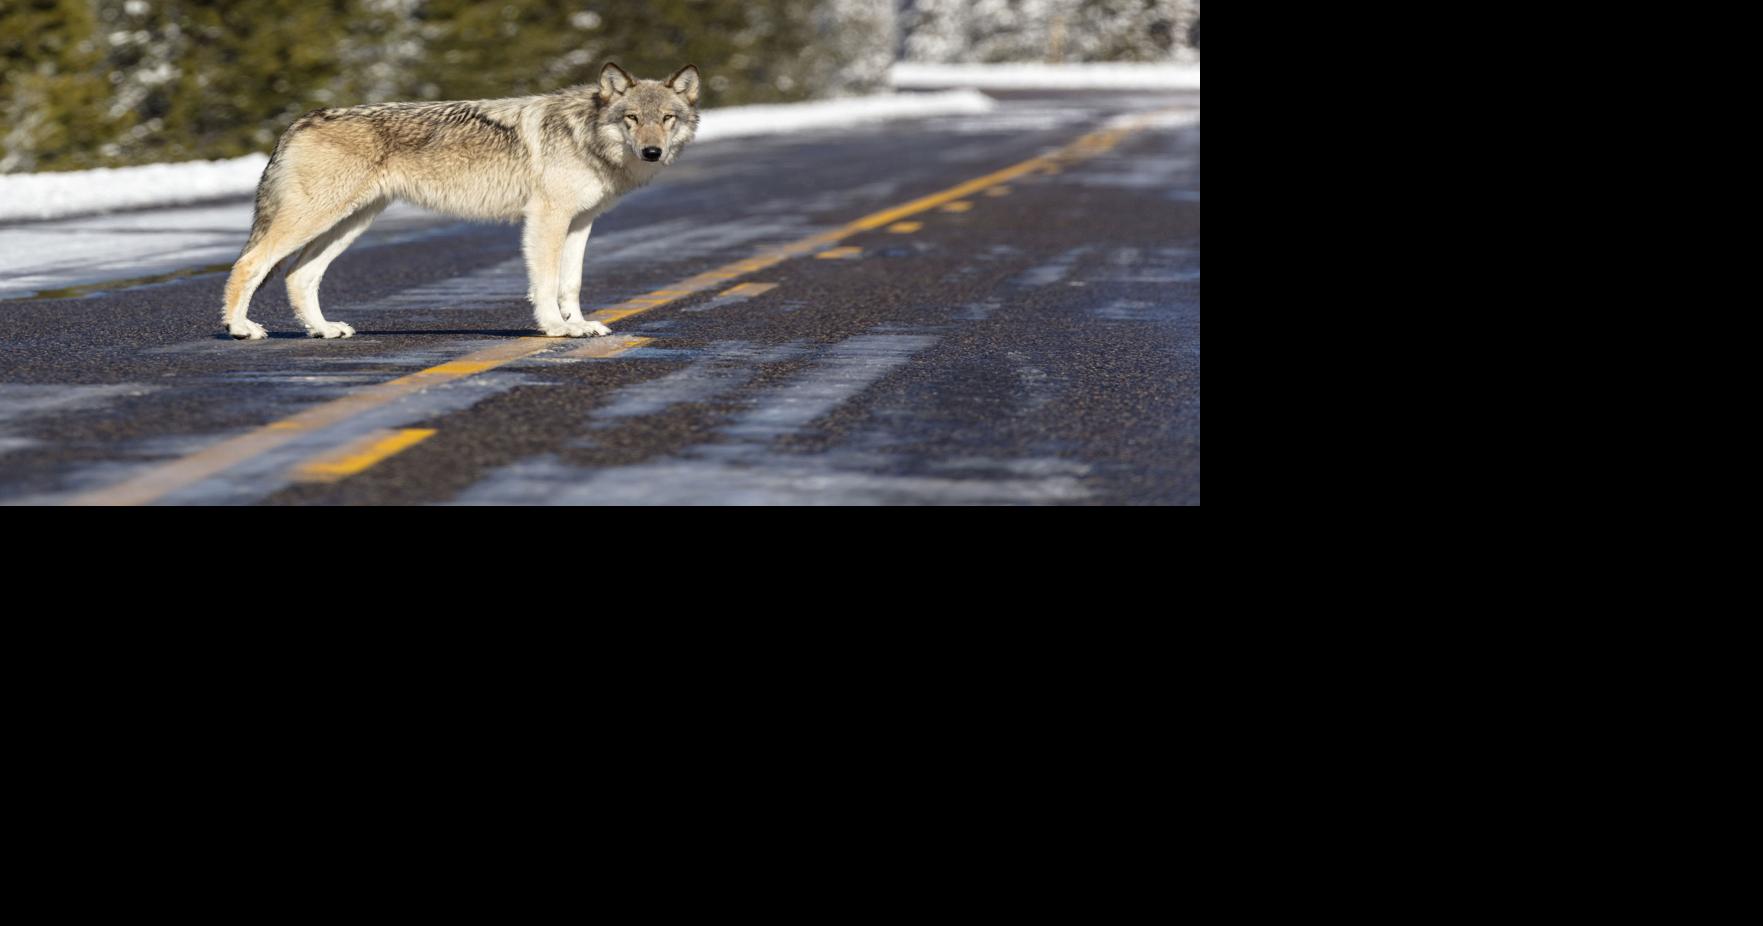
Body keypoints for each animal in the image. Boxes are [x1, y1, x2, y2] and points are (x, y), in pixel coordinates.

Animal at [220, 62, 700, 340]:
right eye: (632, 118)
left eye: (667, 119)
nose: (652, 152)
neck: (587, 136)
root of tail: (300, 120)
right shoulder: (546, 218)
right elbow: (545, 283)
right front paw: (555, 329)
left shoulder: (580, 223)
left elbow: (572, 283)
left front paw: (578, 323)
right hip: (316, 219)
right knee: (250, 263)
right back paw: (241, 328)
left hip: (349, 224)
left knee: (299, 275)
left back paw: (323, 330)